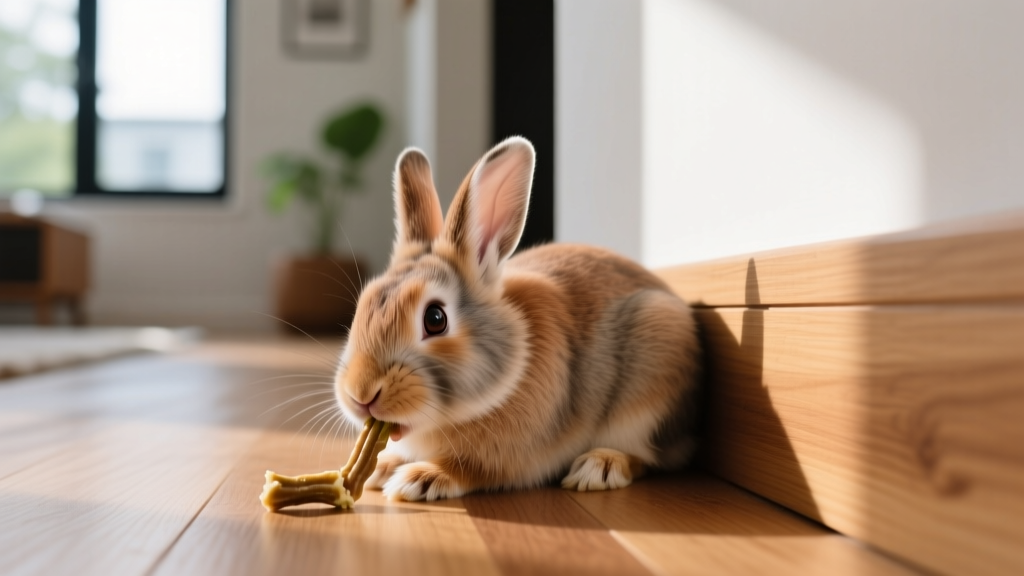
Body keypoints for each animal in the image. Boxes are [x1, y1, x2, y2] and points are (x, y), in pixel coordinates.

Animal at [333, 136, 701, 502]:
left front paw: (418, 478)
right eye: (362, 307)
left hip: (652, 376)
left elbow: (471, 469)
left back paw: (598, 467)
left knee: (645, 456)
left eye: (435, 318)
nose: (360, 394)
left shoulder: (506, 458)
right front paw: (382, 468)